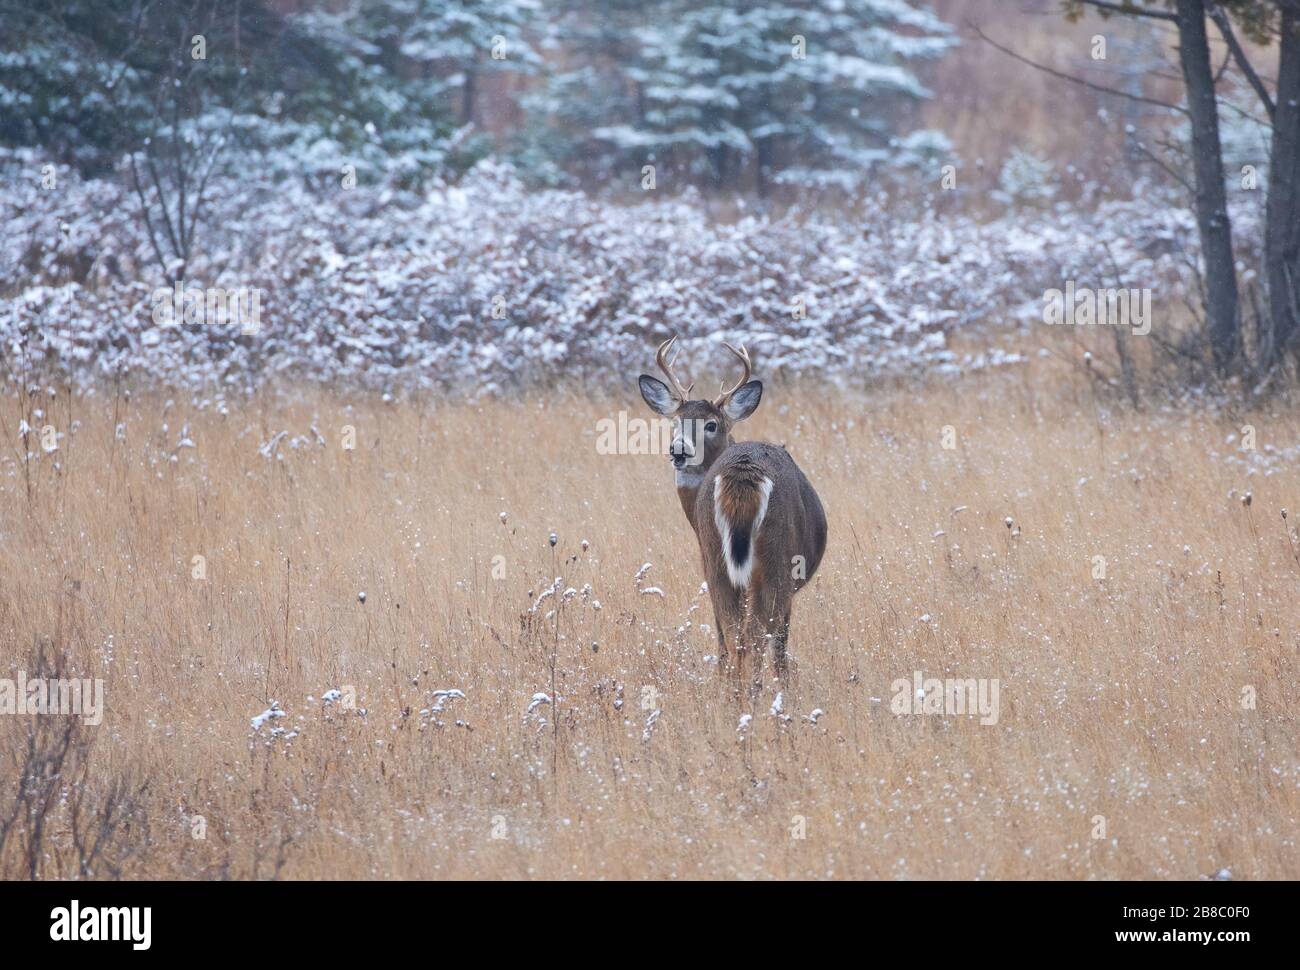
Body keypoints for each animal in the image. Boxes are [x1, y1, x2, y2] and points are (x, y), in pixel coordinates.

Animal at [638, 336, 827, 692]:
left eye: (711, 424)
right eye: (675, 422)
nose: (678, 450)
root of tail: (741, 476)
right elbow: (779, 646)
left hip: (717, 563)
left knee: (733, 635)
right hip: (777, 561)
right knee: (752, 637)